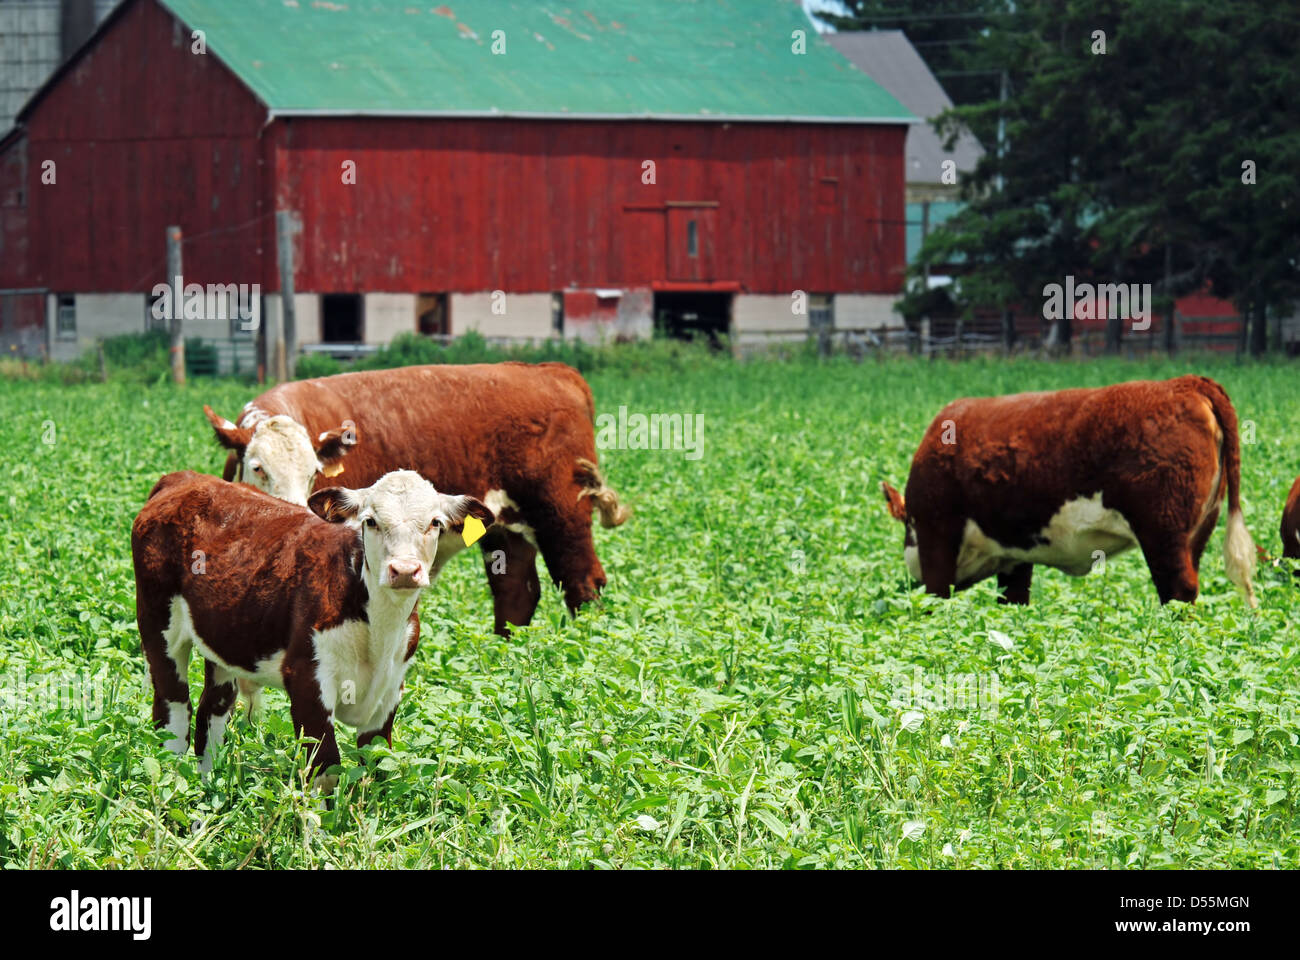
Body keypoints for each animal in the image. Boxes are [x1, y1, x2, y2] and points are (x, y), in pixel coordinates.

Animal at [132, 469, 494, 785]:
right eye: (370, 521)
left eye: (435, 522)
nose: (404, 570)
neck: (378, 631)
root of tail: (185, 478)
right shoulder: (307, 681)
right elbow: (326, 769)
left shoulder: (390, 690)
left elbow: (378, 763)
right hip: (156, 623)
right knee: (173, 708)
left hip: (224, 639)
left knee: (213, 708)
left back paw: (209, 785)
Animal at [203, 362, 627, 636]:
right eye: (258, 467)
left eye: (312, 472)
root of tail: (553, 371)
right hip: (504, 526)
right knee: (516, 592)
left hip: (562, 514)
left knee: (582, 582)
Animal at [880, 375, 1257, 607]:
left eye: (908, 530)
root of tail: (1184, 383)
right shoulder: (1017, 553)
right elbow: (1013, 600)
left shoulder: (937, 535)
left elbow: (935, 597)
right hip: (1199, 528)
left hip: (1163, 531)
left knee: (1177, 590)